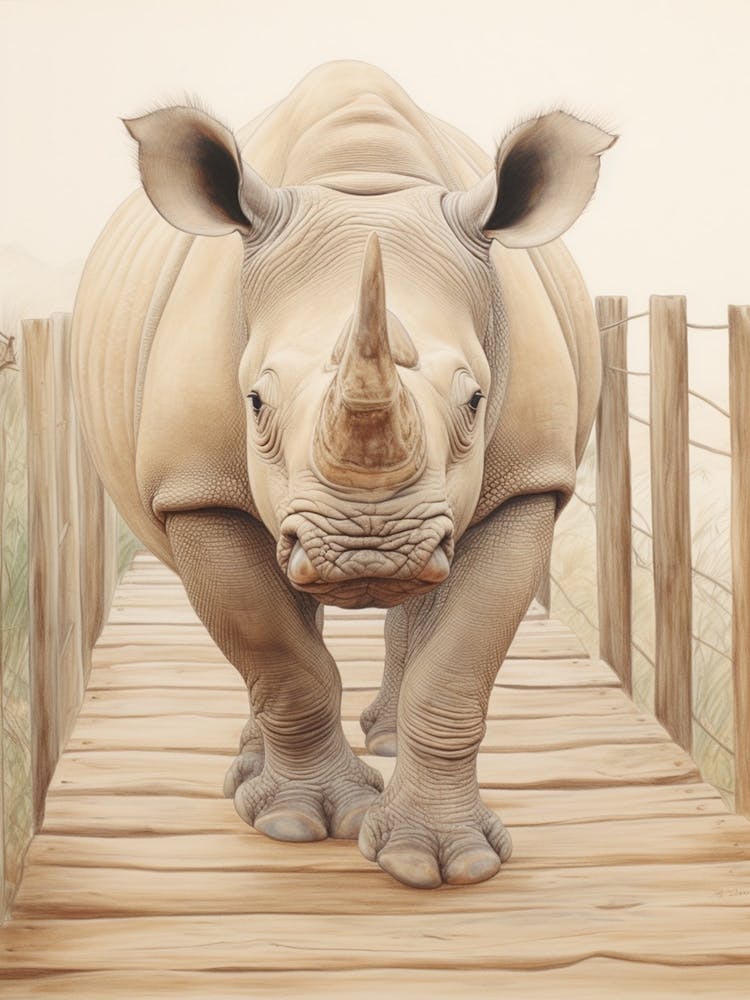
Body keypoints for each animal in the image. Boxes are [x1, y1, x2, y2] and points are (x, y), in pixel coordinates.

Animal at [72, 61, 614, 888]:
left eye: (475, 399)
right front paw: (296, 823)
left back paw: (381, 742)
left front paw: (441, 861)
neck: (363, 180)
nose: (369, 552)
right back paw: (248, 777)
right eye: (254, 400)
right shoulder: (195, 490)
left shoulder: (527, 481)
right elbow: (277, 654)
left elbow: (457, 670)